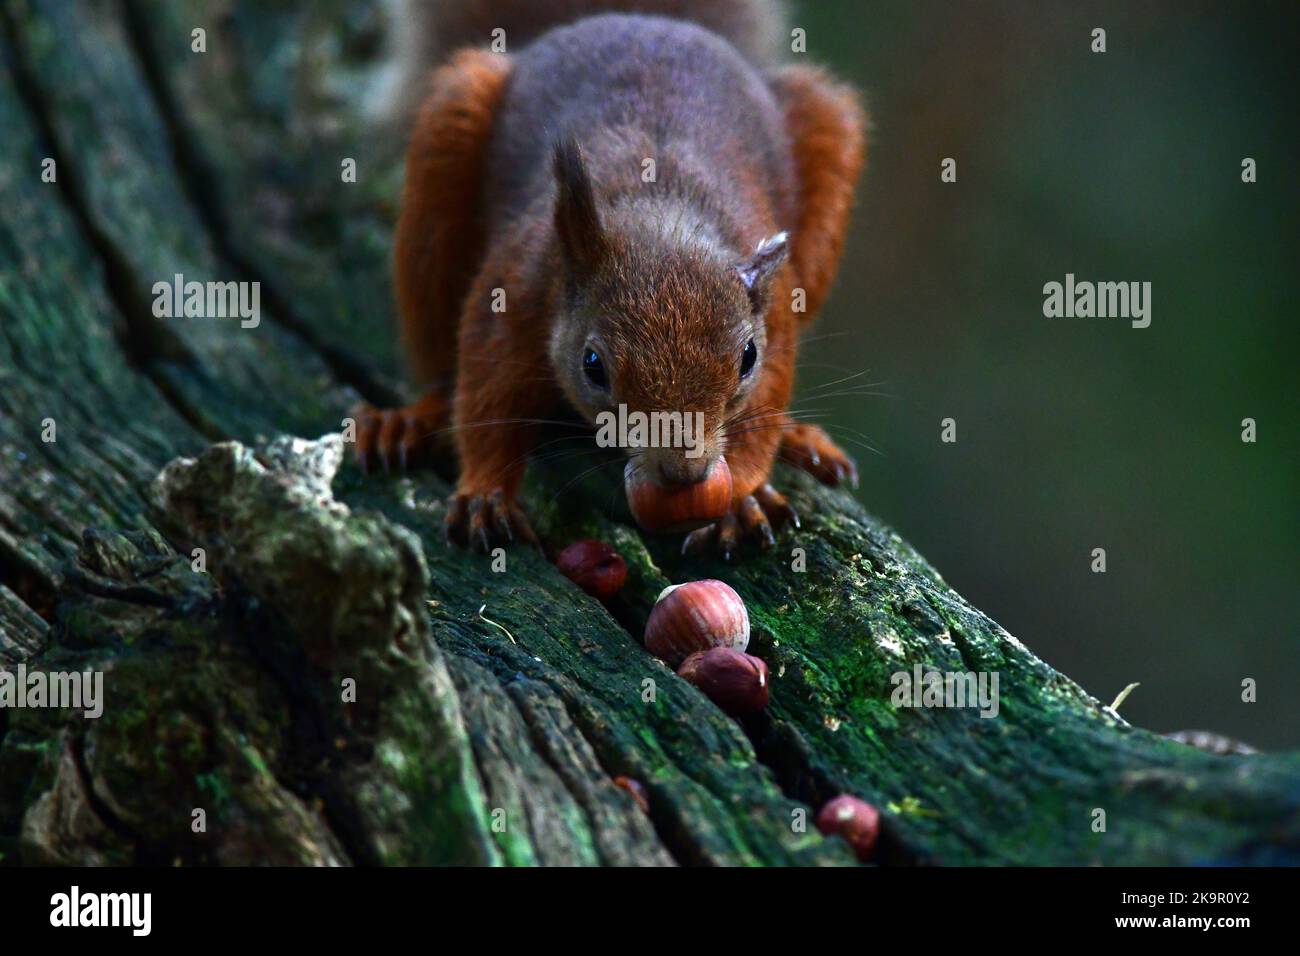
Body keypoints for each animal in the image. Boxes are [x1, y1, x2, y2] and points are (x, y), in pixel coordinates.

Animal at [355, 0, 867, 557]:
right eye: (593, 365)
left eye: (747, 358)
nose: (683, 473)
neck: (664, 207)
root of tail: (631, 16)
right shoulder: (517, 282)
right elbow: (486, 390)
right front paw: (486, 494)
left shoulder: (776, 307)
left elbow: (768, 397)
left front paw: (742, 499)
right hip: (447, 137)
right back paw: (413, 418)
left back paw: (798, 439)